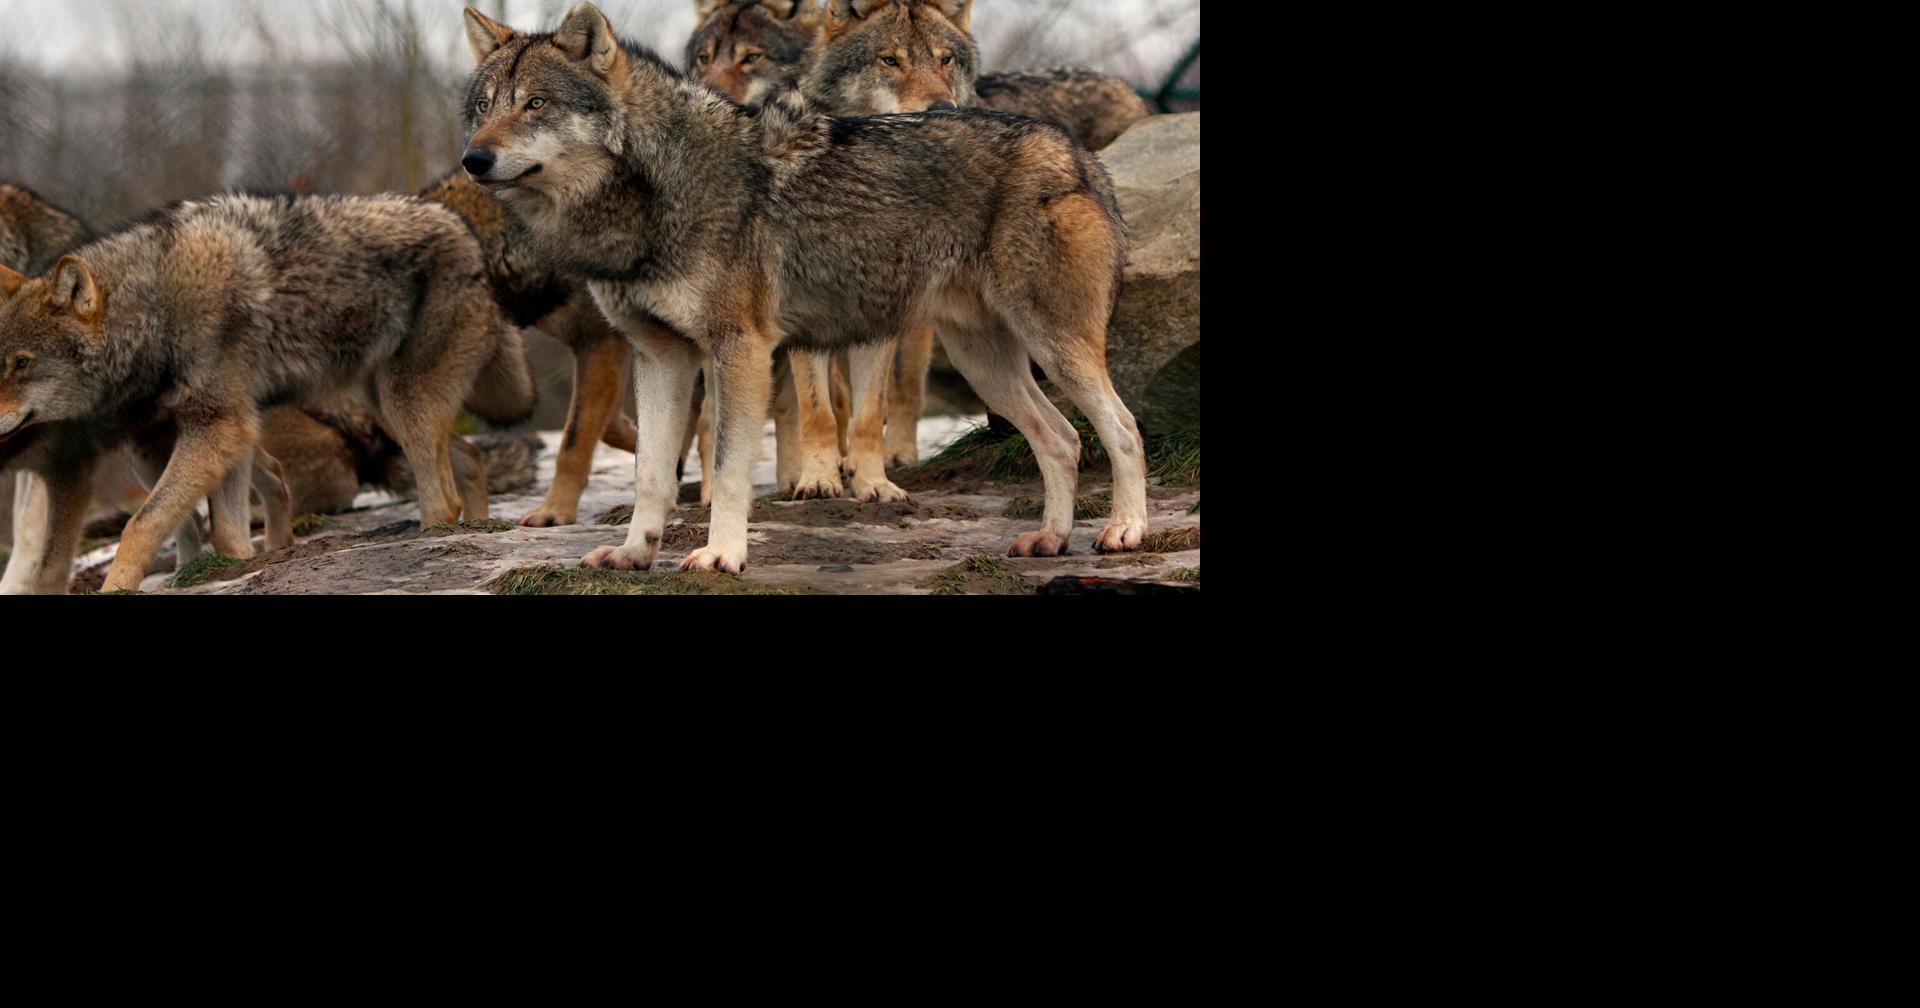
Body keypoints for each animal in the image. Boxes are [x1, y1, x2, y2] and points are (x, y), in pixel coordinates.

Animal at [0, 192, 533, 594]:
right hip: (384, 406)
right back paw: (479, 529)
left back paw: (440, 535)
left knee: (443, 495)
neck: (156, 307)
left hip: (403, 403)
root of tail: (466, 233)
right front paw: (238, 568)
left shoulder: (219, 425)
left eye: (21, 364)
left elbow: (143, 523)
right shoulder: (221, 426)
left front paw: (116, 587)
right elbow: (226, 532)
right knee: (470, 458)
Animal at [459, 3, 1148, 573]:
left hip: (1055, 349)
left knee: (1122, 428)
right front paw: (634, 554)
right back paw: (1050, 539)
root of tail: (1078, 154)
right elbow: (651, 476)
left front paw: (722, 556)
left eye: (536, 104)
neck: (656, 188)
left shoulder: (739, 351)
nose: (473, 159)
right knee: (1061, 439)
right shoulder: (659, 358)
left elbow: (728, 469)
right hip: (987, 364)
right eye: (486, 106)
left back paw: (1124, 531)